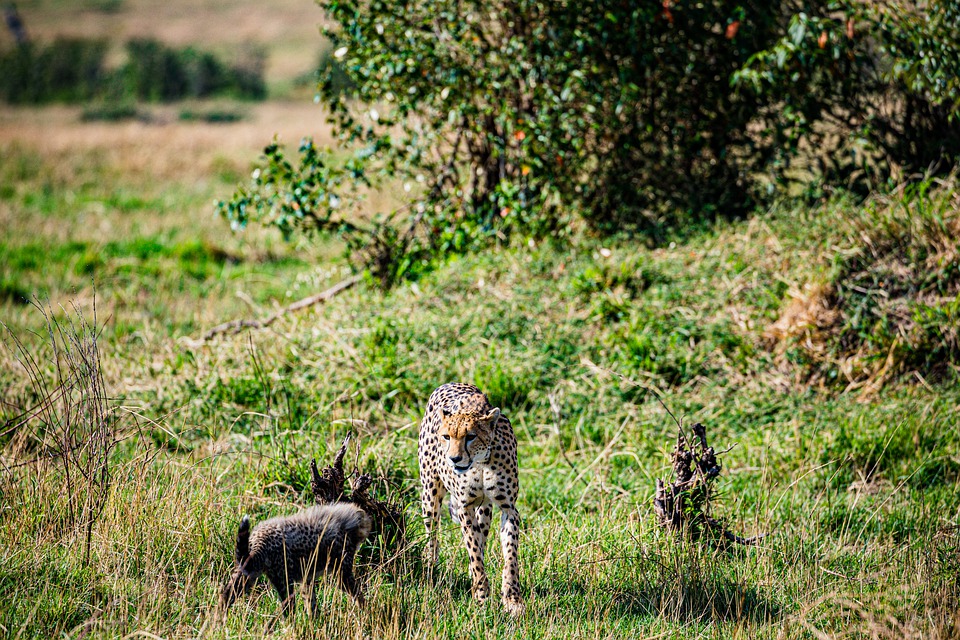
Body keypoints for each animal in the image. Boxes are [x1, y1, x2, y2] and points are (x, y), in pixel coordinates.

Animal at [418, 382, 524, 616]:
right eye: (447, 436)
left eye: (470, 436)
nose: (454, 458)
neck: (481, 462)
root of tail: (450, 383)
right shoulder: (464, 507)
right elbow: (474, 551)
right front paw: (482, 597)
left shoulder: (508, 508)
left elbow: (510, 556)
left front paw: (512, 599)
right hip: (430, 494)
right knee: (432, 535)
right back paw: (430, 568)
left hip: (484, 508)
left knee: (482, 533)